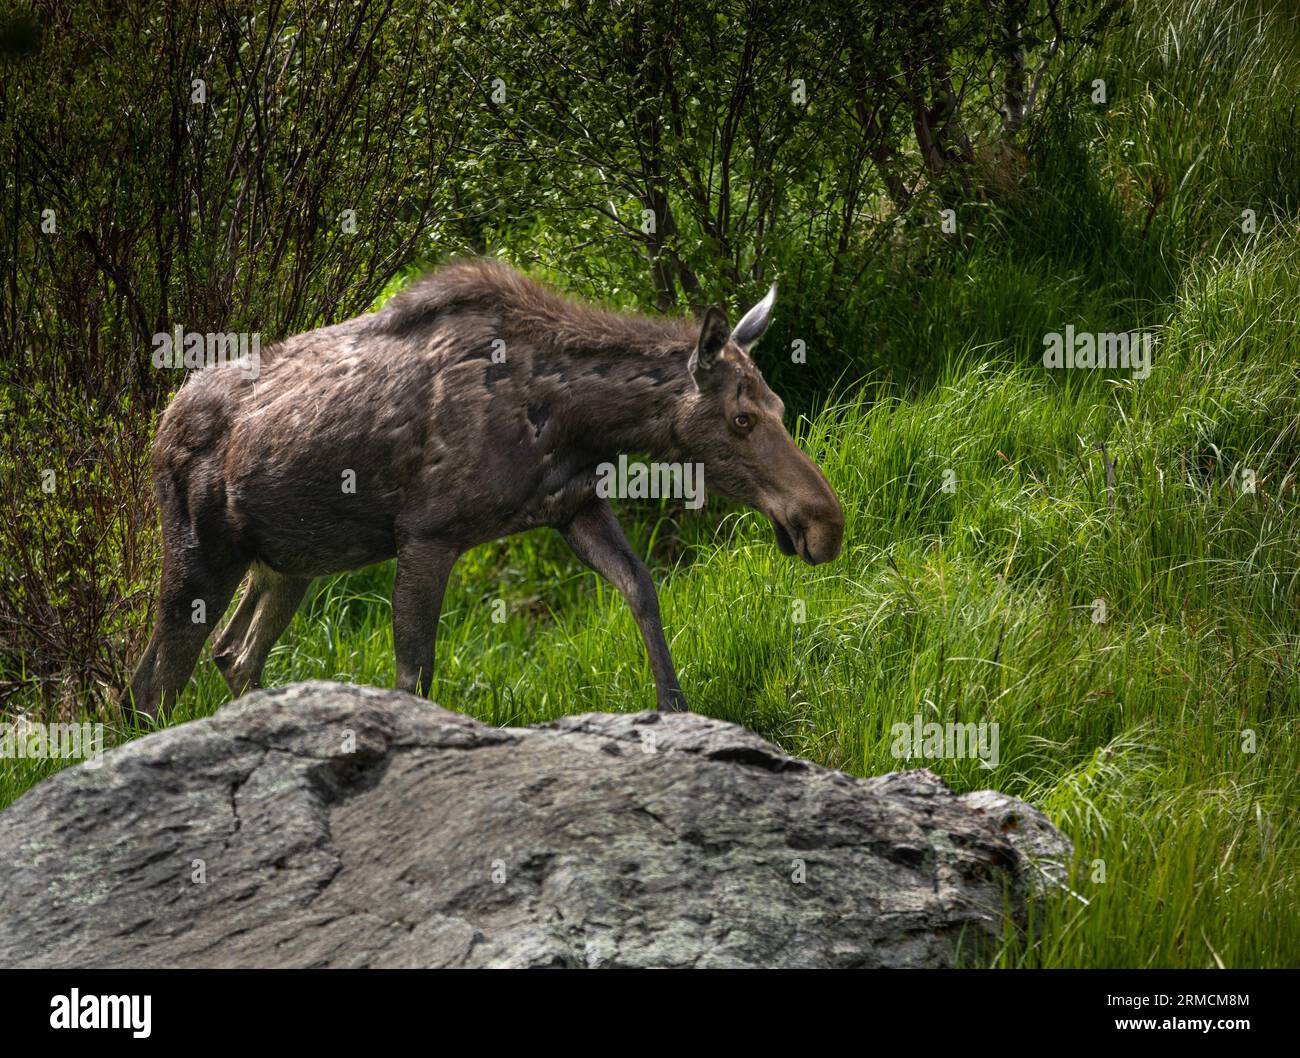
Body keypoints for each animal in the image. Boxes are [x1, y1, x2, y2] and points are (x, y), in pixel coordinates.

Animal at [123, 260, 845, 721]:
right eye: (741, 418)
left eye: (779, 405)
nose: (825, 523)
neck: (575, 423)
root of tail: (158, 425)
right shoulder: (426, 534)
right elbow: (414, 673)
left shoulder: (575, 506)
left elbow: (641, 587)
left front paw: (675, 707)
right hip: (198, 557)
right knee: (148, 686)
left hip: (288, 564)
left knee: (234, 655)